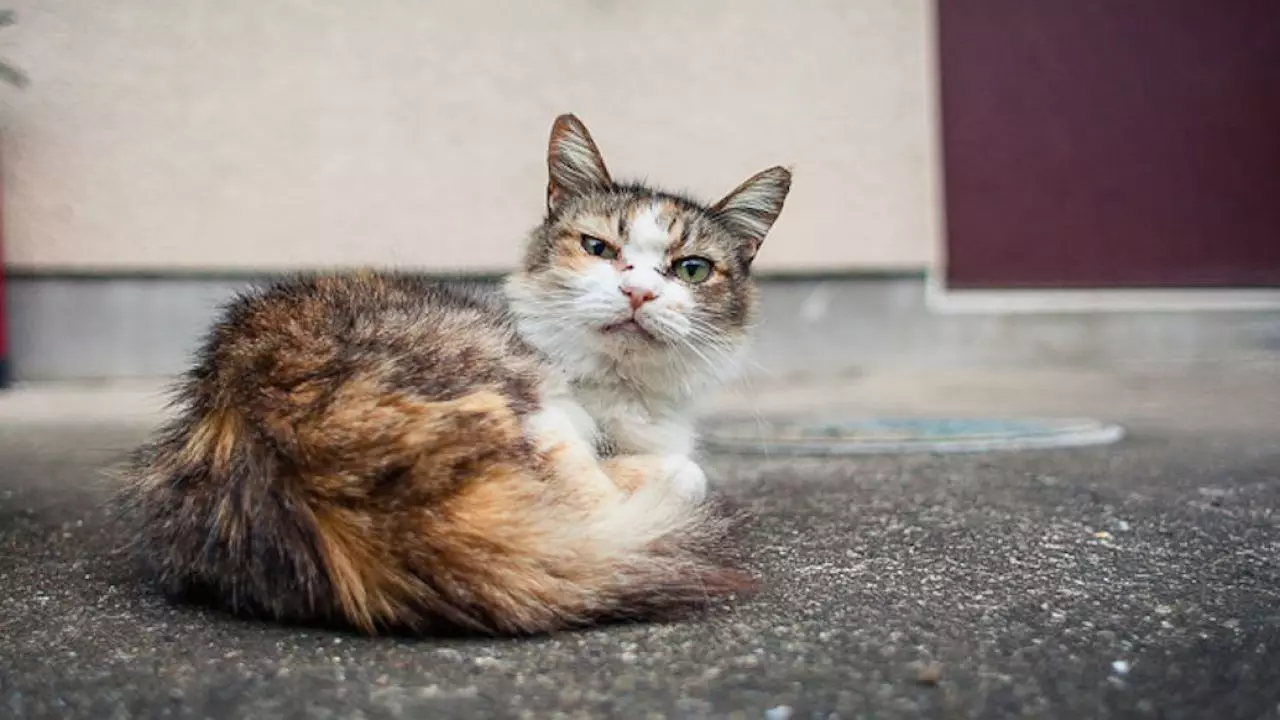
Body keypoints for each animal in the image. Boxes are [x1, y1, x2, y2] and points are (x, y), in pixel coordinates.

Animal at [117, 113, 788, 632]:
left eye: (692, 269)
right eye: (597, 248)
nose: (638, 293)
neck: (623, 391)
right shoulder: (554, 418)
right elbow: (675, 474)